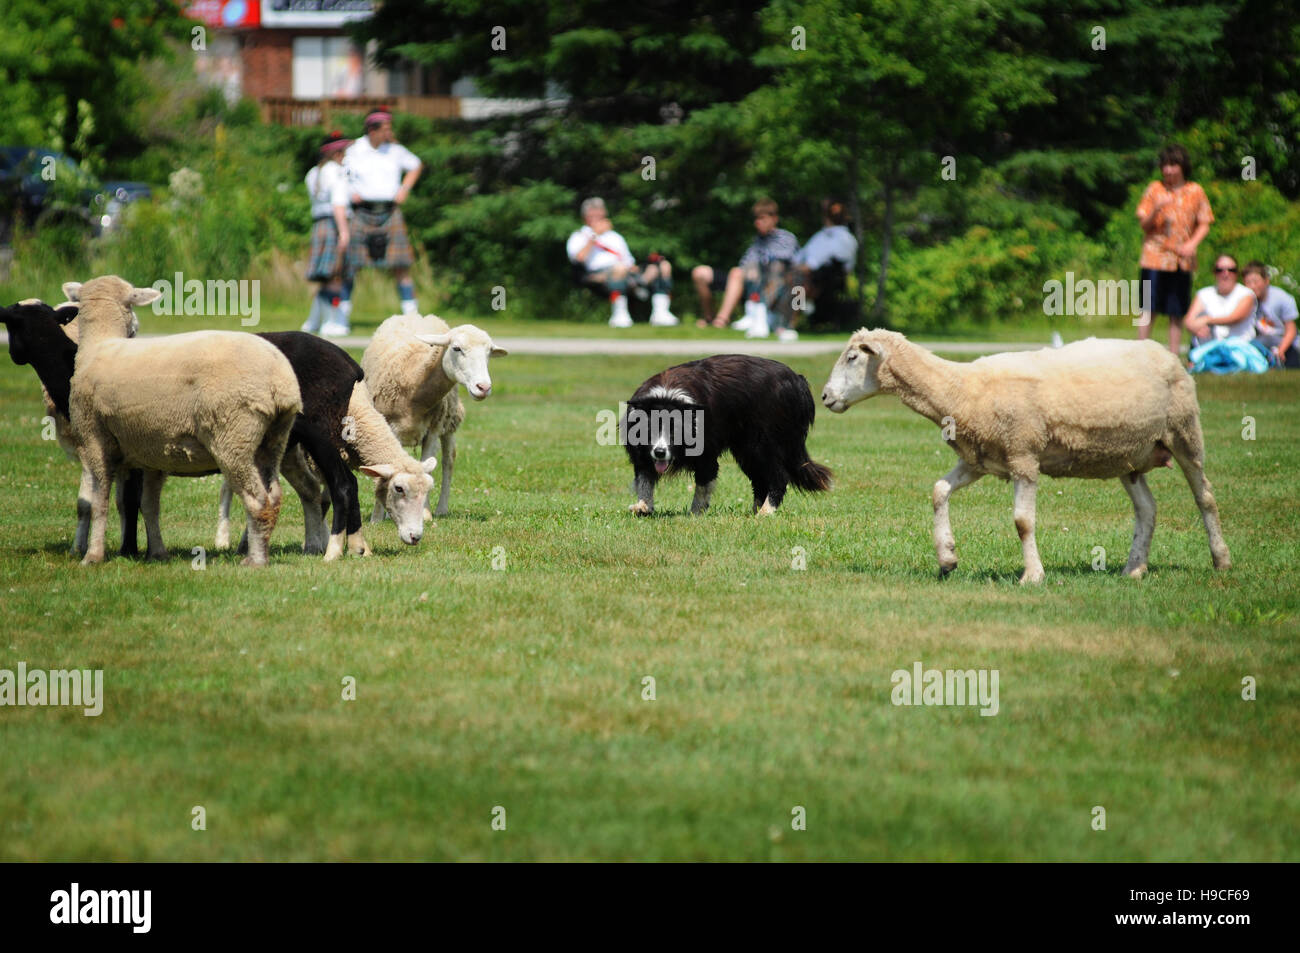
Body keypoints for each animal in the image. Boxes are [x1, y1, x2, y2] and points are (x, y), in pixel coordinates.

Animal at [64, 275, 302, 567]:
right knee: (274, 496)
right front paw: (158, 553)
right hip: (275, 436)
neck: (100, 342)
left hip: (232, 435)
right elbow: (149, 505)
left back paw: (255, 561)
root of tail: (279, 380)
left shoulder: (93, 439)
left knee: (258, 501)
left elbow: (99, 502)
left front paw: (93, 557)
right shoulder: (154, 450)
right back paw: (260, 554)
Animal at [361, 313, 506, 518]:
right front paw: (377, 517)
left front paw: (425, 513)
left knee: (448, 462)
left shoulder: (433, 430)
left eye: (489, 353)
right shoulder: (387, 428)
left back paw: (441, 509)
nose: (484, 387)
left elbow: (428, 469)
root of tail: (415, 315)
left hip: (449, 422)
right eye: (456, 348)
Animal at [821, 329, 1231, 584]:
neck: (961, 389)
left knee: (1205, 497)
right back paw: (1134, 569)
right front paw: (947, 558)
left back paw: (1221, 560)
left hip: (1184, 431)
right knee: (1147, 508)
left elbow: (1021, 522)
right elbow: (938, 490)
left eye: (853, 357)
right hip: (1129, 455)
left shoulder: (1023, 456)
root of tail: (1165, 352)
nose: (825, 397)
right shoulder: (978, 460)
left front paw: (1032, 575)